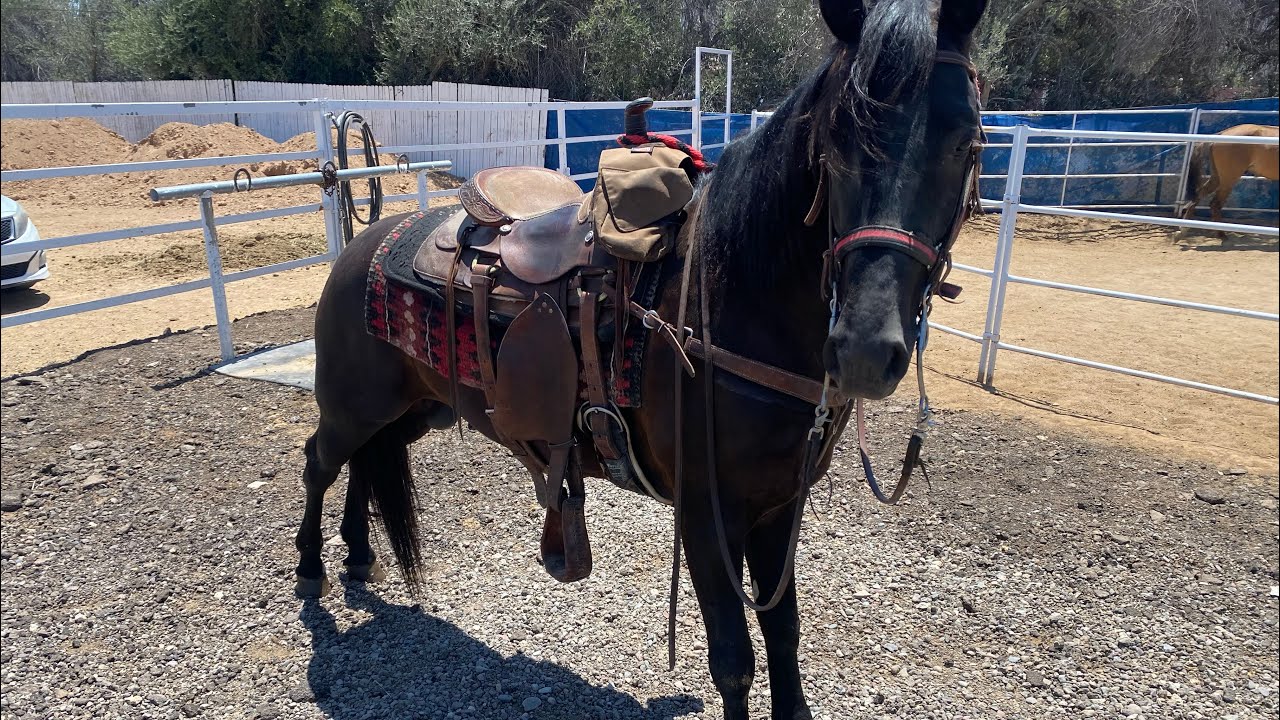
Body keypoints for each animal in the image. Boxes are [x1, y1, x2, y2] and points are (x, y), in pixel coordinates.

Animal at [292, 0, 988, 717]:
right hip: (351, 406)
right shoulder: (707, 516)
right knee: (321, 461)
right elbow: (734, 660)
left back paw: (357, 554)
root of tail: (363, 245)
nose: (866, 349)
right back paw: (312, 567)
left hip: (413, 410)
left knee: (366, 462)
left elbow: (785, 630)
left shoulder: (779, 508)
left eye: (967, 141)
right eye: (838, 141)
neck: (730, 297)